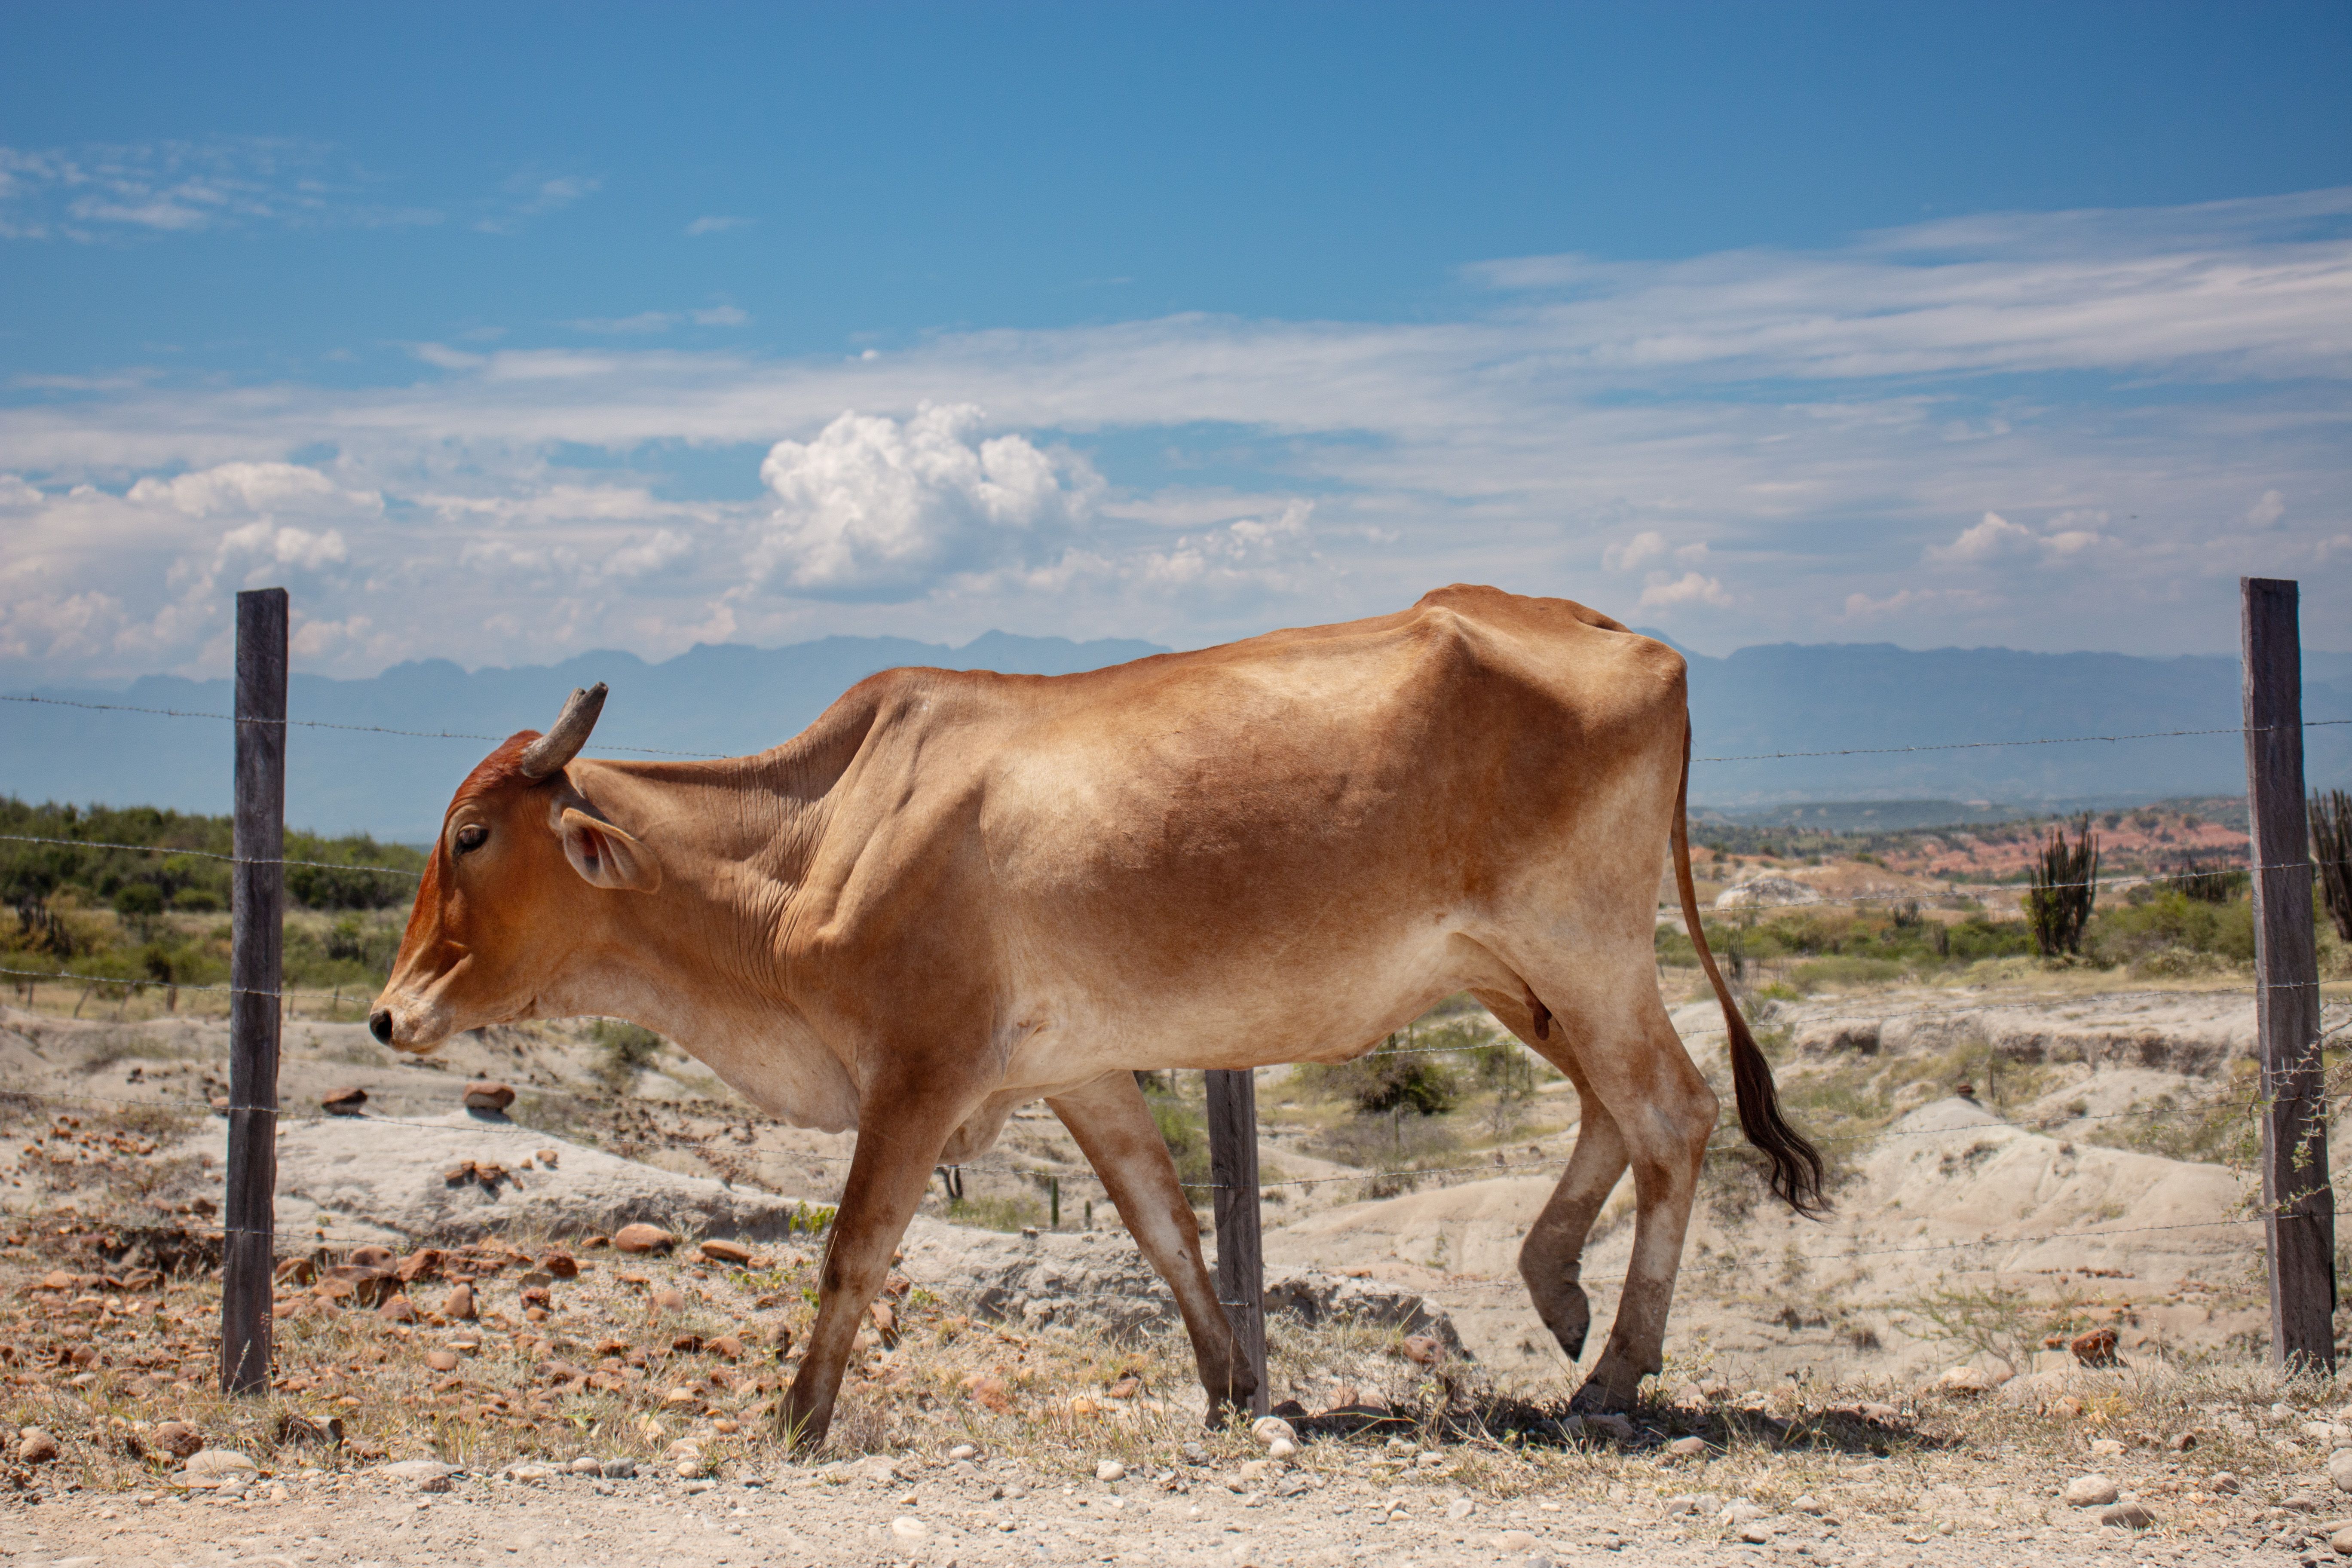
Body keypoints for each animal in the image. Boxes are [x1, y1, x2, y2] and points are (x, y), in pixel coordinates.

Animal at [369, 584, 1823, 1448]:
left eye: (472, 832)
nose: (388, 1017)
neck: (817, 840)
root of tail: (1621, 632)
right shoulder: (1081, 1074)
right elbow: (1166, 1227)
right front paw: (1236, 1390)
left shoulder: (922, 1072)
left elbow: (852, 1251)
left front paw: (796, 1418)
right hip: (1516, 976)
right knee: (1615, 1113)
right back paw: (1557, 1291)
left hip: (1581, 953)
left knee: (1672, 1114)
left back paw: (1615, 1370)